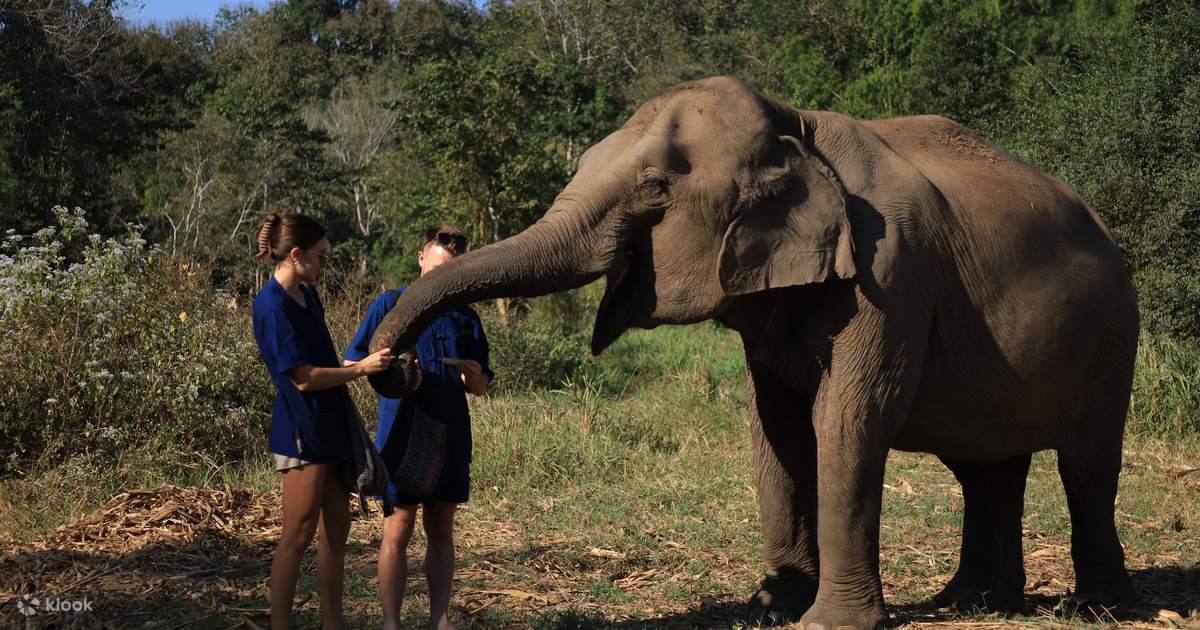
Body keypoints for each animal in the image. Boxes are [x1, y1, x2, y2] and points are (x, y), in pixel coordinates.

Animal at [368, 76, 1138, 629]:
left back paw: (1093, 607)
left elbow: (849, 422)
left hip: (1113, 334)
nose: (397, 368)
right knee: (987, 468)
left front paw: (827, 624)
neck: (796, 124)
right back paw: (971, 603)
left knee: (1086, 465)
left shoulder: (893, 275)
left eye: (655, 189)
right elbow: (777, 429)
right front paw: (770, 607)